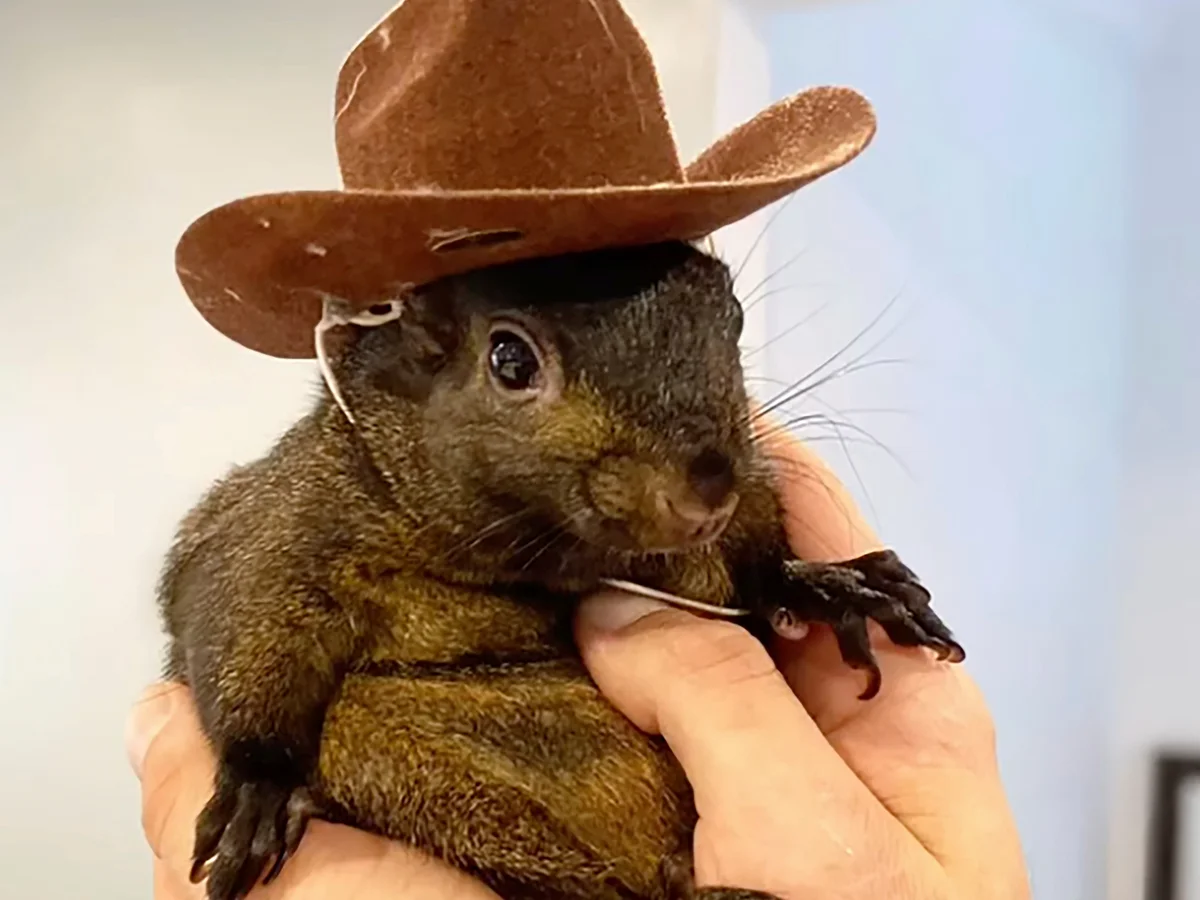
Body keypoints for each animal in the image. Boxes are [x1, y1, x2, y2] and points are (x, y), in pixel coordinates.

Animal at [157, 239, 964, 900]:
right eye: (509, 360)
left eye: (731, 317)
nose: (707, 489)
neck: (544, 558)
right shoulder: (286, 524)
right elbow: (242, 617)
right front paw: (258, 786)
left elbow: (758, 565)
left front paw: (829, 585)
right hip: (387, 752)